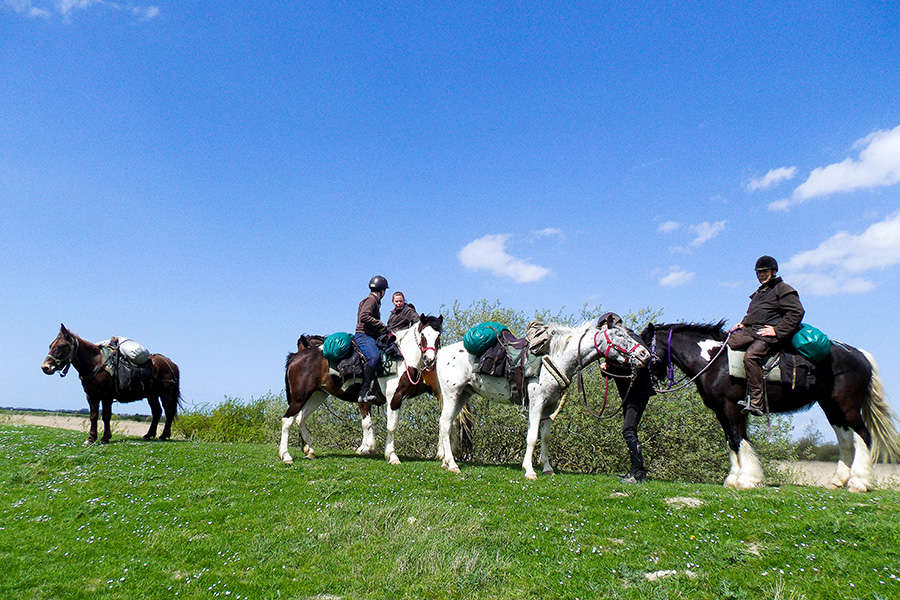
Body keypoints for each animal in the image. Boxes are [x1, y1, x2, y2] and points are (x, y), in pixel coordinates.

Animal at [41, 324, 182, 444]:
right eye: (50, 345)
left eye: (61, 346)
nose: (45, 367)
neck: (96, 364)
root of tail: (171, 363)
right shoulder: (91, 396)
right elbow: (93, 416)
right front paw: (91, 438)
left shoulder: (106, 396)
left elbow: (106, 416)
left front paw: (105, 437)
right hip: (152, 395)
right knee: (157, 412)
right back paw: (149, 435)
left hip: (166, 393)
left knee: (168, 412)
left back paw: (164, 435)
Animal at [278, 314, 443, 464]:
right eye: (423, 335)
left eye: (438, 336)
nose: (430, 359)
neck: (402, 359)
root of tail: (295, 357)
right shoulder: (394, 398)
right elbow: (390, 426)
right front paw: (391, 456)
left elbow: (369, 423)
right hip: (299, 397)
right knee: (287, 420)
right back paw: (286, 456)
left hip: (317, 395)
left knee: (300, 419)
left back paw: (310, 451)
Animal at [435, 313, 651, 479]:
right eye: (619, 334)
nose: (645, 354)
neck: (555, 357)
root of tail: (441, 353)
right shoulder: (536, 403)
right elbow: (532, 437)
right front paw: (530, 471)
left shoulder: (549, 406)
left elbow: (545, 436)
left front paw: (547, 468)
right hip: (452, 394)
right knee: (445, 424)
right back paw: (453, 464)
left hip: (462, 395)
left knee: (449, 424)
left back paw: (445, 461)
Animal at [636, 321, 900, 492]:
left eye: (644, 348)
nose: (646, 381)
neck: (714, 360)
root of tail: (861, 355)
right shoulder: (721, 411)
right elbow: (731, 441)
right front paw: (734, 478)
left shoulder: (732, 408)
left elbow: (738, 439)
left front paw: (747, 479)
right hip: (832, 407)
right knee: (846, 440)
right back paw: (838, 481)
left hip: (848, 406)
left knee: (863, 436)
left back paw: (859, 483)